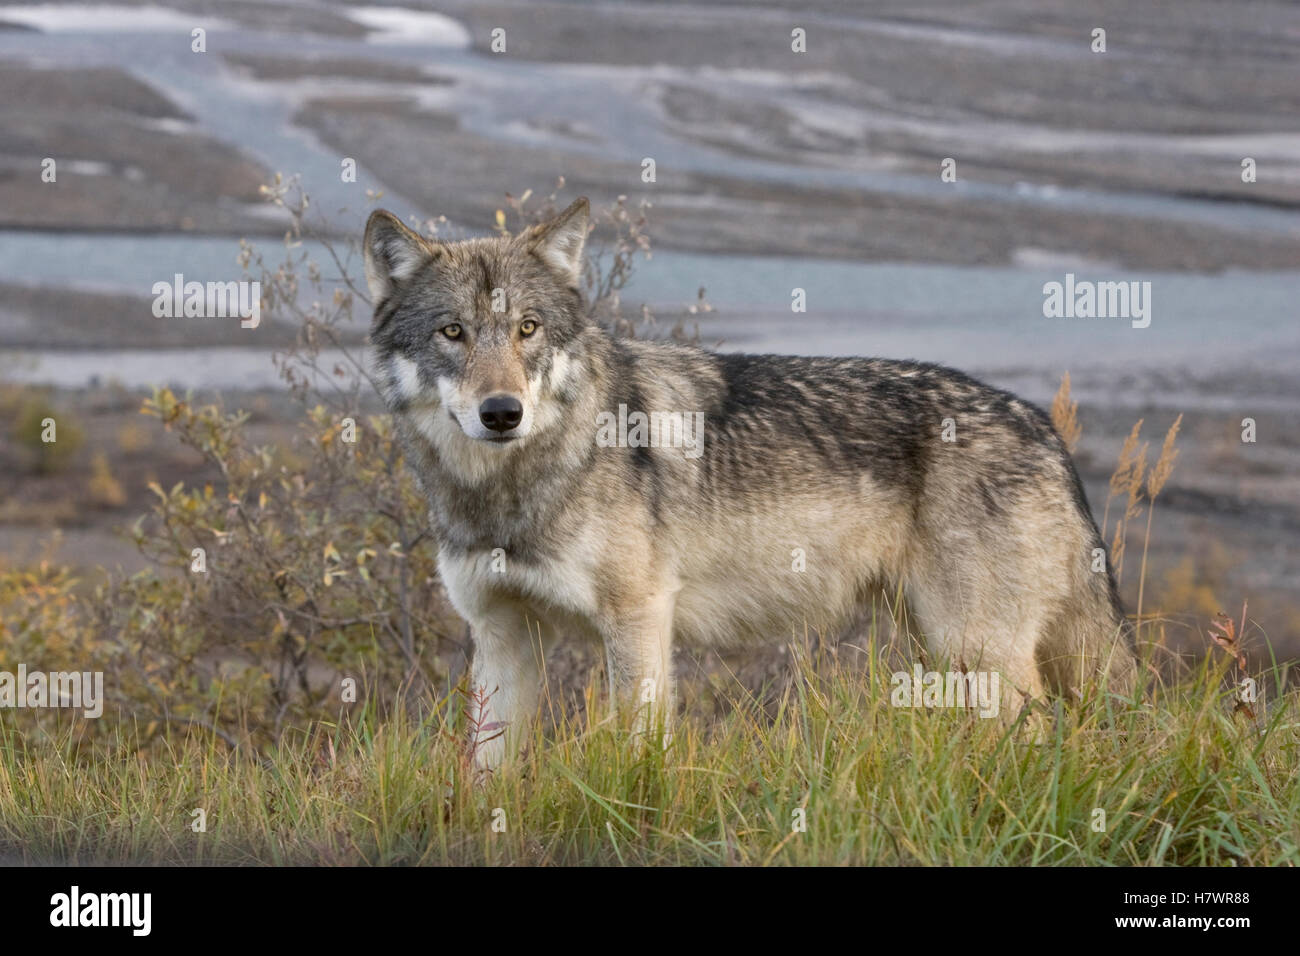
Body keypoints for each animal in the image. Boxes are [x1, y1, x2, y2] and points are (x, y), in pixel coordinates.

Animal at [363, 198, 1135, 770]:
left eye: (527, 328)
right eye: (453, 332)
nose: (502, 413)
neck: (511, 491)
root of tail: (1043, 427)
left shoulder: (638, 618)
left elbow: (636, 754)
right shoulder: (501, 637)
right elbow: (487, 774)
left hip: (976, 653)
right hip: (940, 649)